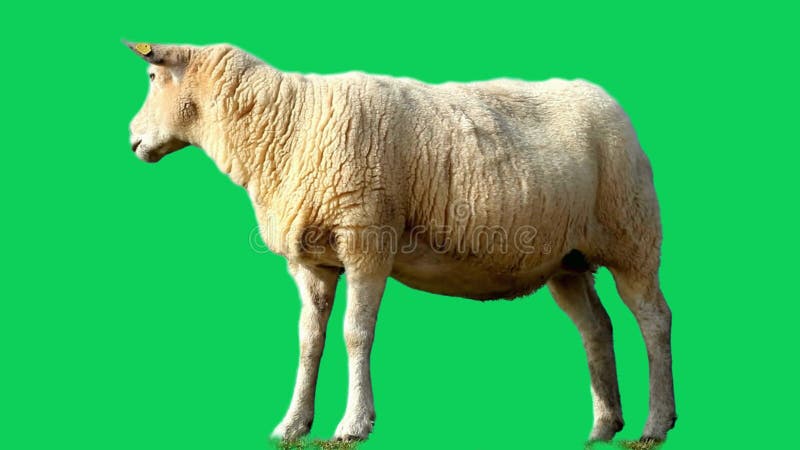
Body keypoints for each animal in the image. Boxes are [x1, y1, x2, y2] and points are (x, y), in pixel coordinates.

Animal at [124, 41, 676, 444]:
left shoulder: (367, 239)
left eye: (151, 78)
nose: (131, 139)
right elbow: (308, 341)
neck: (288, 123)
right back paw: (603, 426)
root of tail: (606, 98)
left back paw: (655, 425)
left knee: (654, 321)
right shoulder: (311, 262)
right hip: (567, 260)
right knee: (597, 328)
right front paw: (292, 425)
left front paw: (352, 426)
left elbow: (355, 334)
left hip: (633, 235)